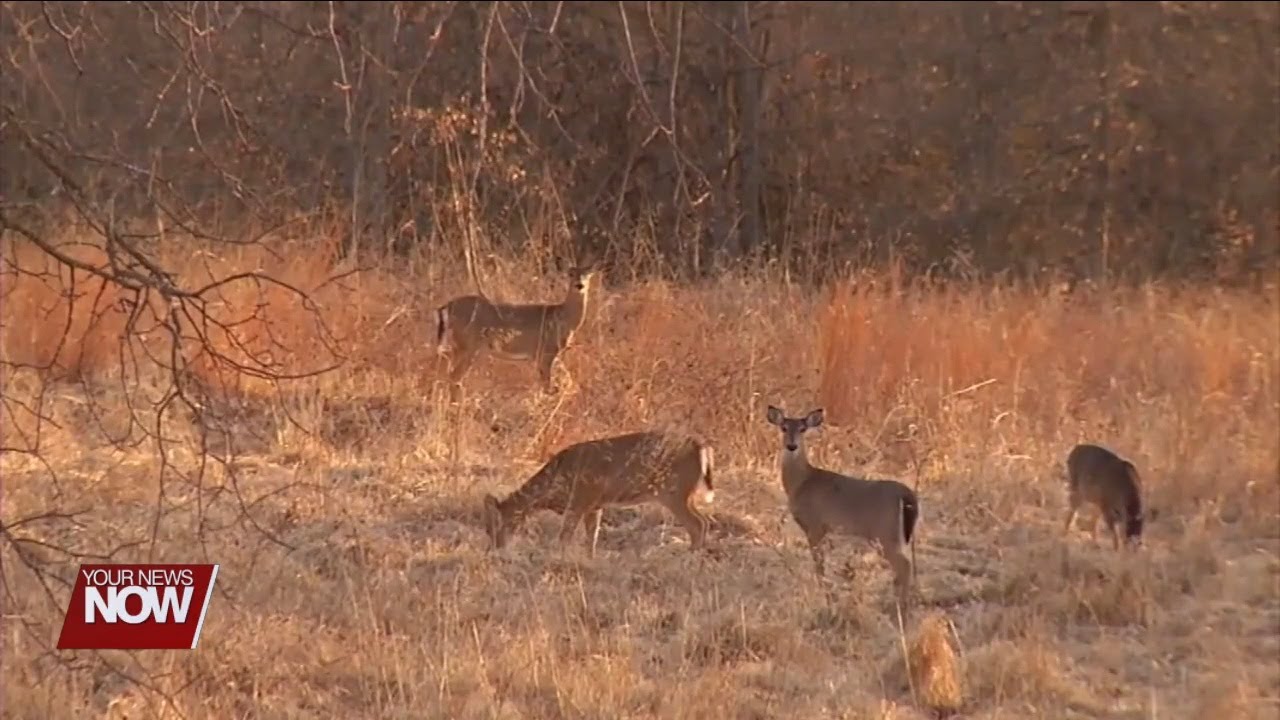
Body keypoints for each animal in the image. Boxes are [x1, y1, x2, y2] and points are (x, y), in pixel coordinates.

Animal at [435, 262, 599, 400]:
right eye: (571, 274)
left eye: (588, 274)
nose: (580, 285)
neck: (562, 318)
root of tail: (447, 306)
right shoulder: (546, 352)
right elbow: (548, 387)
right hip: (469, 346)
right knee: (454, 376)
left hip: (458, 347)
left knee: (449, 373)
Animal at [481, 431, 716, 557]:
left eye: (494, 526)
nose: (494, 549)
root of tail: (701, 446)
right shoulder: (595, 505)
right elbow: (591, 537)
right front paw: (589, 559)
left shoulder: (580, 500)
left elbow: (565, 535)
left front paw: (558, 556)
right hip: (686, 493)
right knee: (704, 521)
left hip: (674, 492)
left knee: (697, 524)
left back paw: (689, 557)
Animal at [765, 405, 920, 607]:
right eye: (783, 427)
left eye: (802, 429)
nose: (792, 446)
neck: (801, 483)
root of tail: (906, 494)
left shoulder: (815, 525)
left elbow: (819, 564)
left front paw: (826, 596)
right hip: (895, 536)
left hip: (885, 532)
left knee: (904, 566)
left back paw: (901, 606)